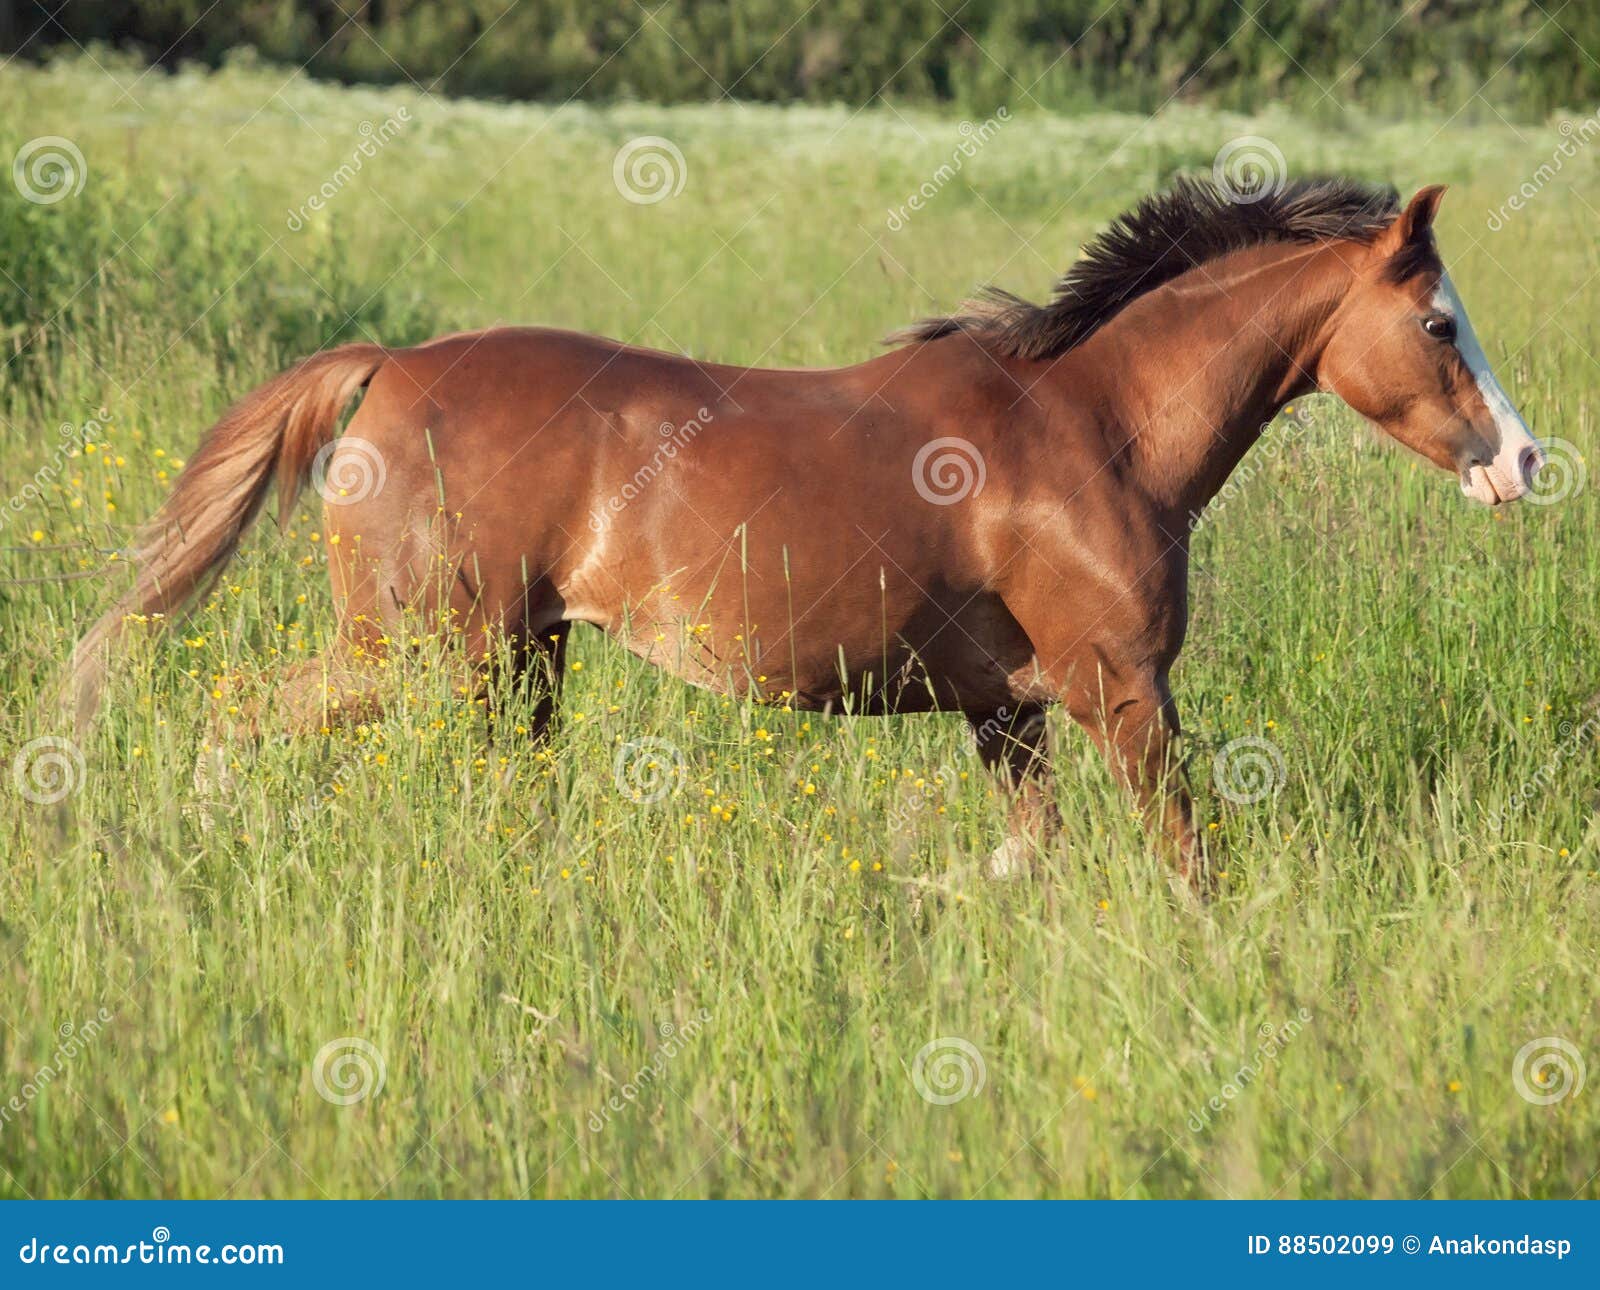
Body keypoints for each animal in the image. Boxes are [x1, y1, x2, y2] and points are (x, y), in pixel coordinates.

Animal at [67, 177, 1543, 890]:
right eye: (1437, 322)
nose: (1524, 460)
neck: (1096, 426)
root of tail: (392, 366)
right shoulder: (1118, 688)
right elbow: (1185, 856)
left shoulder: (1006, 709)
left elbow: (1029, 860)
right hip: (424, 650)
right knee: (239, 709)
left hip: (523, 661)